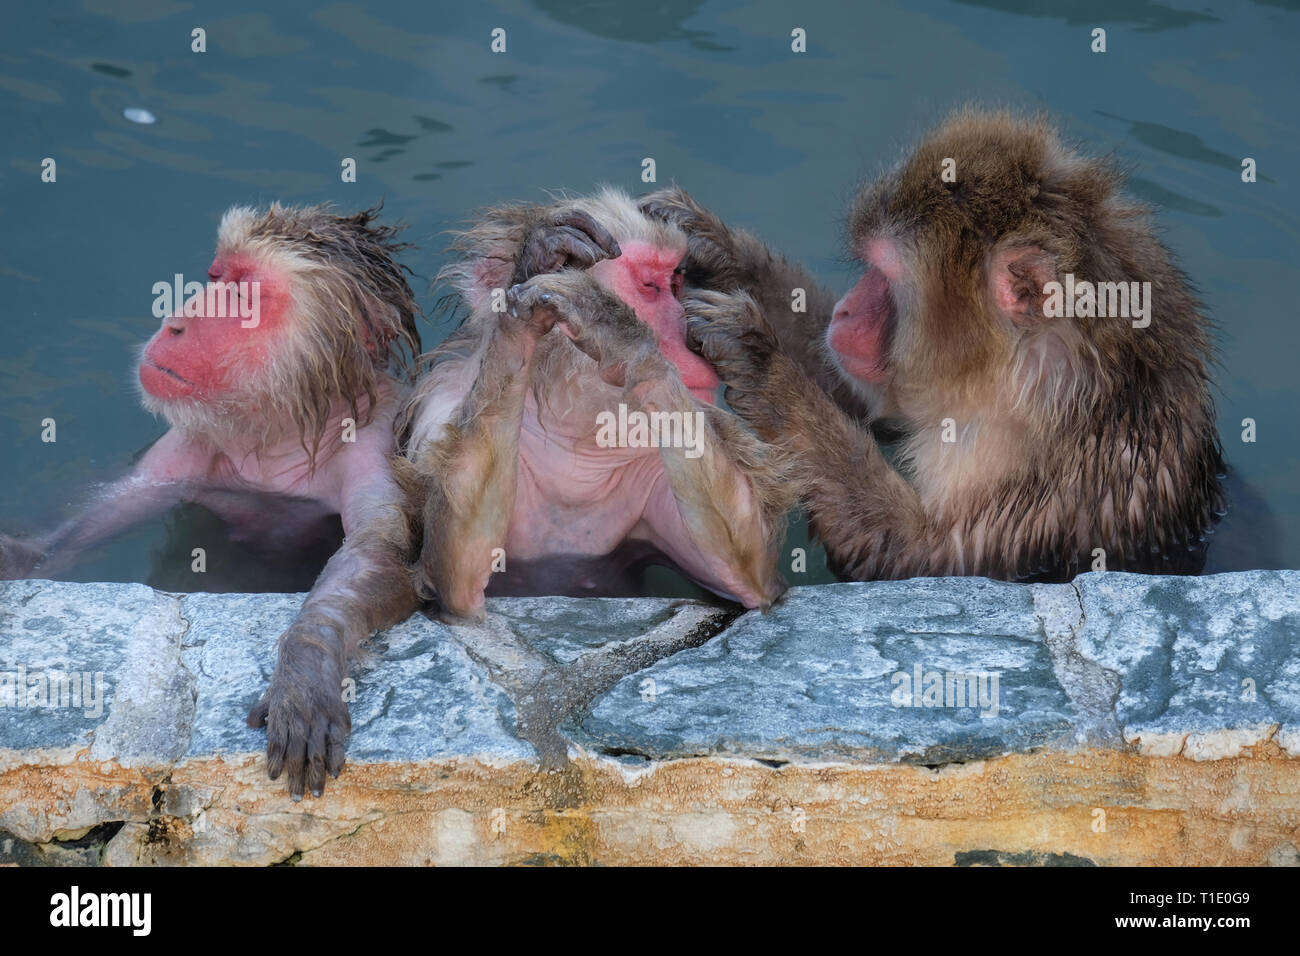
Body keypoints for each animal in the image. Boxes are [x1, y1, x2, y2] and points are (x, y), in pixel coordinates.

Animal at [0, 204, 421, 798]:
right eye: (216, 278)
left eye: (243, 296)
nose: (176, 321)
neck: (287, 427)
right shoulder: (188, 444)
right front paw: (15, 557)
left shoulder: (380, 445)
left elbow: (379, 555)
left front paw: (306, 663)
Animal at [397, 188, 794, 620]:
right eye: (650, 286)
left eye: (675, 281)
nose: (689, 337)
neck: (574, 428)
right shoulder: (436, 415)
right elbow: (457, 582)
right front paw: (535, 261)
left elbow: (750, 578)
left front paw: (615, 329)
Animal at [641, 109, 1226, 582]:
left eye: (885, 276)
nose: (845, 311)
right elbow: (872, 402)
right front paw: (714, 243)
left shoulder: (1049, 484)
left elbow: (909, 555)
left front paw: (758, 357)